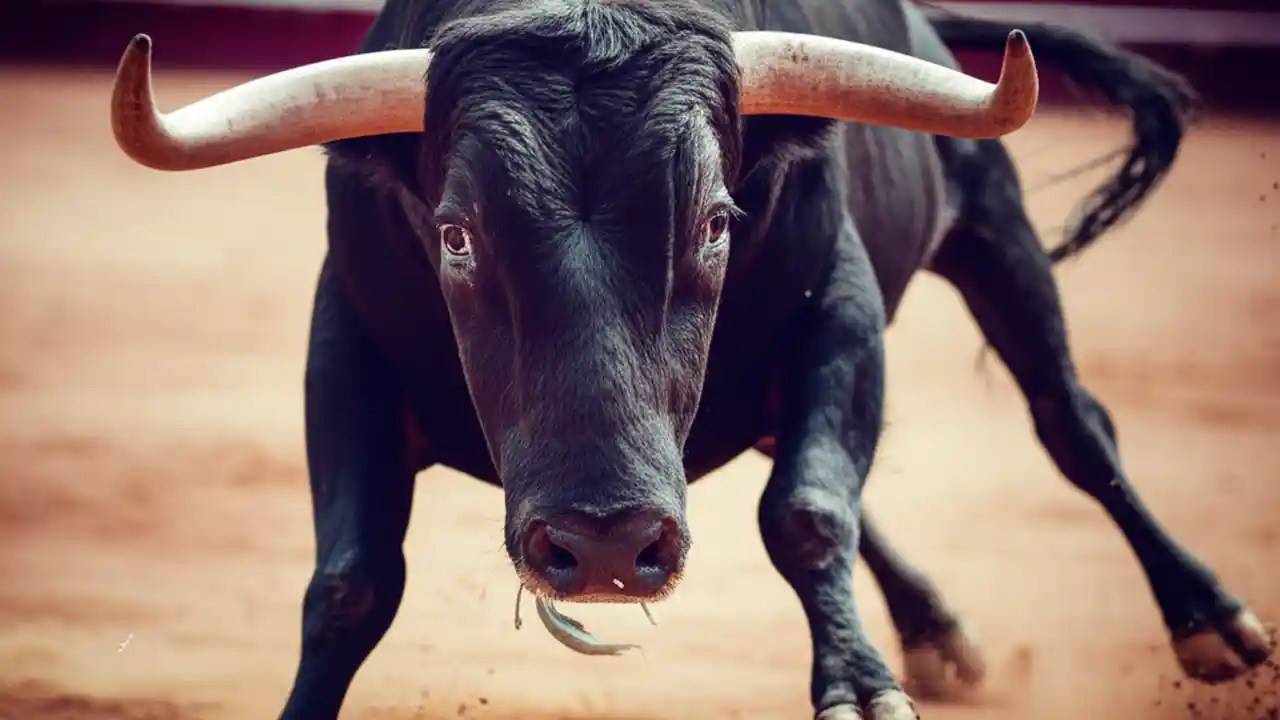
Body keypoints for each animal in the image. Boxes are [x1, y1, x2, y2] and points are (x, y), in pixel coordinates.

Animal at [108, 1, 1274, 718]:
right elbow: (350, 581)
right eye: (454, 234)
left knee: (1073, 426)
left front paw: (860, 686)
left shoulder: (840, 309)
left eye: (716, 221)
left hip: (994, 234)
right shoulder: (344, 335)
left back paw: (1210, 621)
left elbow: (807, 511)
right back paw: (939, 629)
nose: (605, 545)